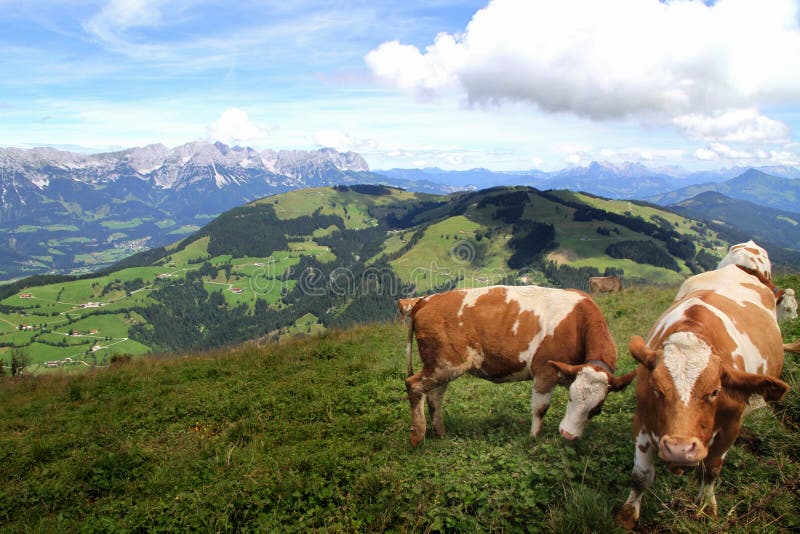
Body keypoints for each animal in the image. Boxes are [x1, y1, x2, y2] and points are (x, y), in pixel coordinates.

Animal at [401, 285, 635, 447]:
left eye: (597, 409)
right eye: (570, 398)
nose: (568, 435)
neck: (578, 322)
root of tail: (426, 300)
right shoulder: (545, 371)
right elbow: (540, 409)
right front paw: (533, 439)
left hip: (443, 366)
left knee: (434, 397)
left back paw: (441, 433)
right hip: (445, 364)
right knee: (414, 385)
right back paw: (417, 436)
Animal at [615, 264, 800, 529]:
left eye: (714, 392)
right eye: (657, 389)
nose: (679, 449)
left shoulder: (731, 427)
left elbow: (711, 470)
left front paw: (706, 508)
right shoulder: (642, 420)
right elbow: (640, 476)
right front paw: (627, 515)